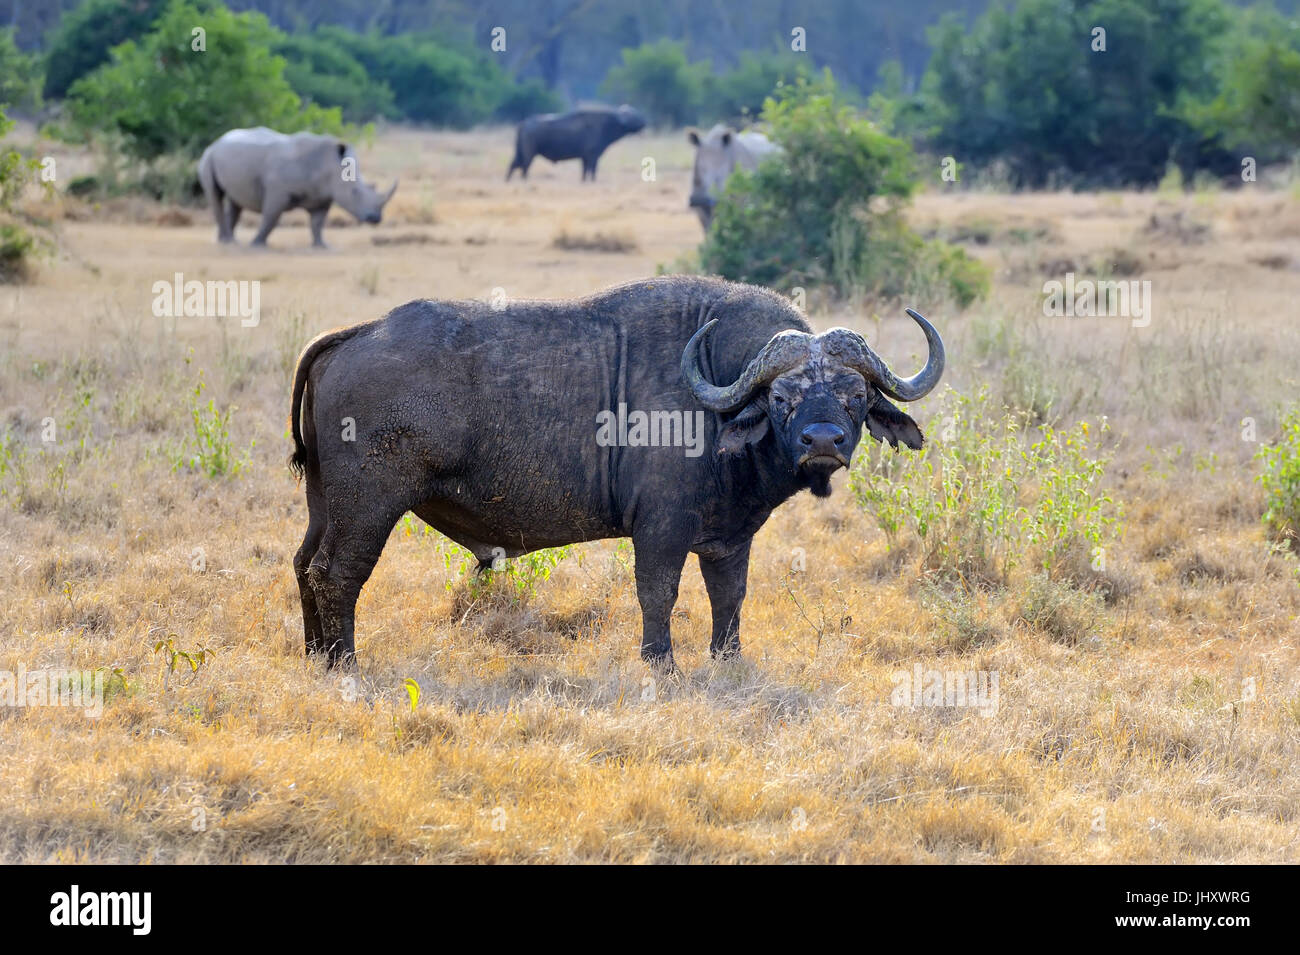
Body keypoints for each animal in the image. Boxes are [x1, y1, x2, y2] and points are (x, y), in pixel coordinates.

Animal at [197, 127, 397, 248]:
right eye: (354, 192)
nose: (375, 218)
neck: (327, 165)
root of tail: (217, 141)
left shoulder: (322, 196)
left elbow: (317, 223)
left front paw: (322, 246)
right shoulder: (278, 191)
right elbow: (271, 218)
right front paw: (257, 244)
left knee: (235, 202)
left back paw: (230, 242)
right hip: (208, 157)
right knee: (215, 195)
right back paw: (227, 242)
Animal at [289, 276, 943, 670]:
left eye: (856, 395)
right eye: (782, 396)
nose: (823, 442)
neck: (712, 389)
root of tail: (360, 333)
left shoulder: (730, 539)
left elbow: (729, 597)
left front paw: (726, 662)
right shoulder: (660, 530)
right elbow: (658, 593)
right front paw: (662, 665)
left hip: (324, 505)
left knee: (302, 566)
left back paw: (315, 658)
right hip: (369, 505)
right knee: (336, 573)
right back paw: (345, 663)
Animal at [506, 105, 647, 182]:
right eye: (634, 115)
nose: (644, 120)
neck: (607, 125)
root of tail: (524, 123)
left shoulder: (584, 158)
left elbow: (584, 172)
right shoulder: (593, 156)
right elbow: (593, 170)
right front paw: (593, 181)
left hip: (519, 152)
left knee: (513, 165)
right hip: (528, 153)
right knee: (524, 167)